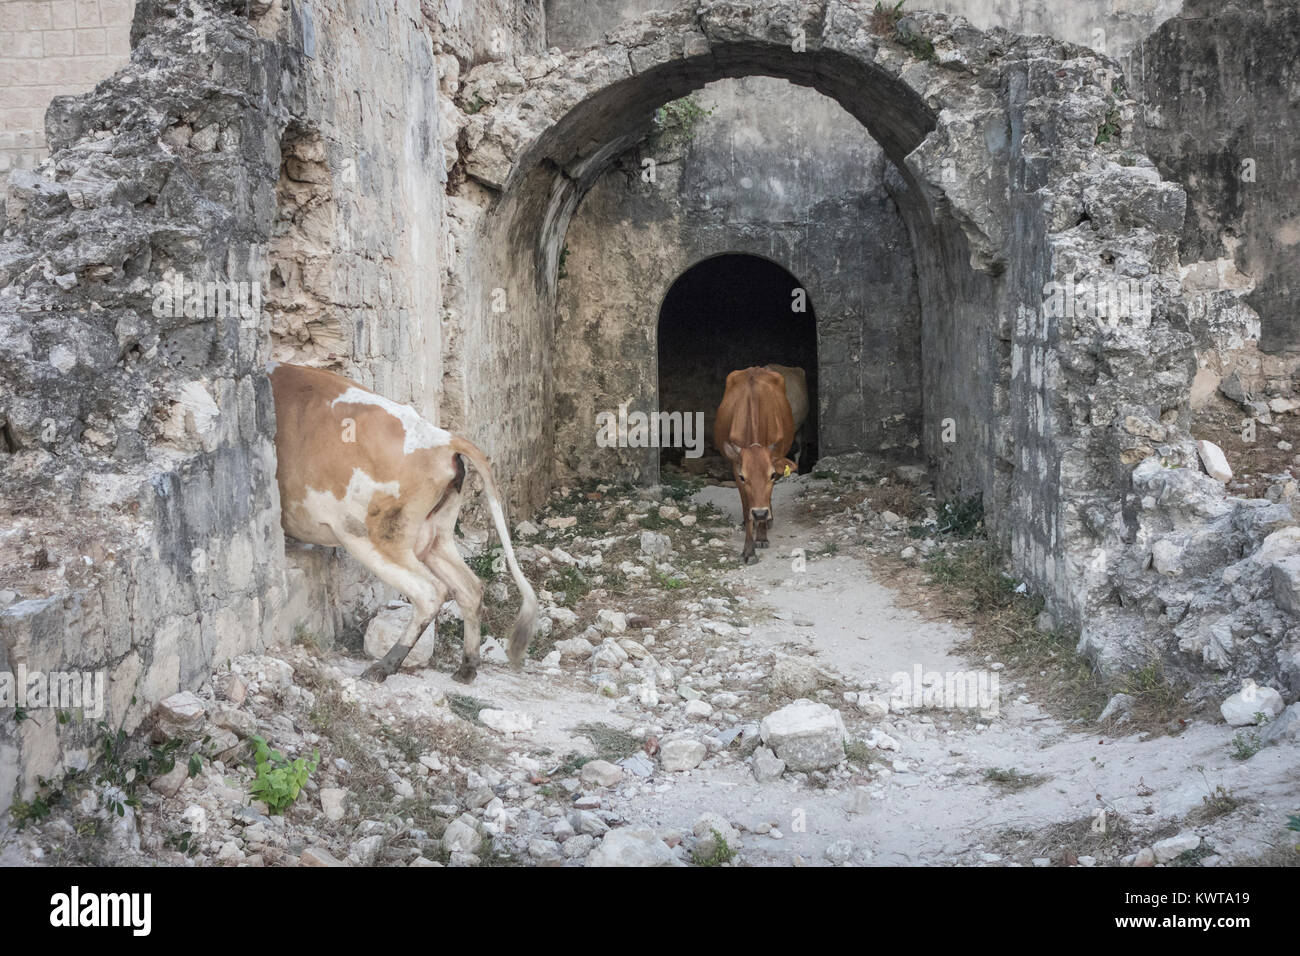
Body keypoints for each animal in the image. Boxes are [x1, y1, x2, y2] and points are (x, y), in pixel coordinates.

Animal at [269, 362, 537, 684]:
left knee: (429, 592)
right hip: (434, 537)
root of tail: (444, 440)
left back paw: (385, 666)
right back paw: (467, 667)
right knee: (470, 588)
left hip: (371, 537)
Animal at [713, 366, 797, 563]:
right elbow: (746, 508)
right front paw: (749, 550)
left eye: (772, 475)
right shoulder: (736, 468)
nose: (760, 513)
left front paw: (762, 537)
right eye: (743, 477)